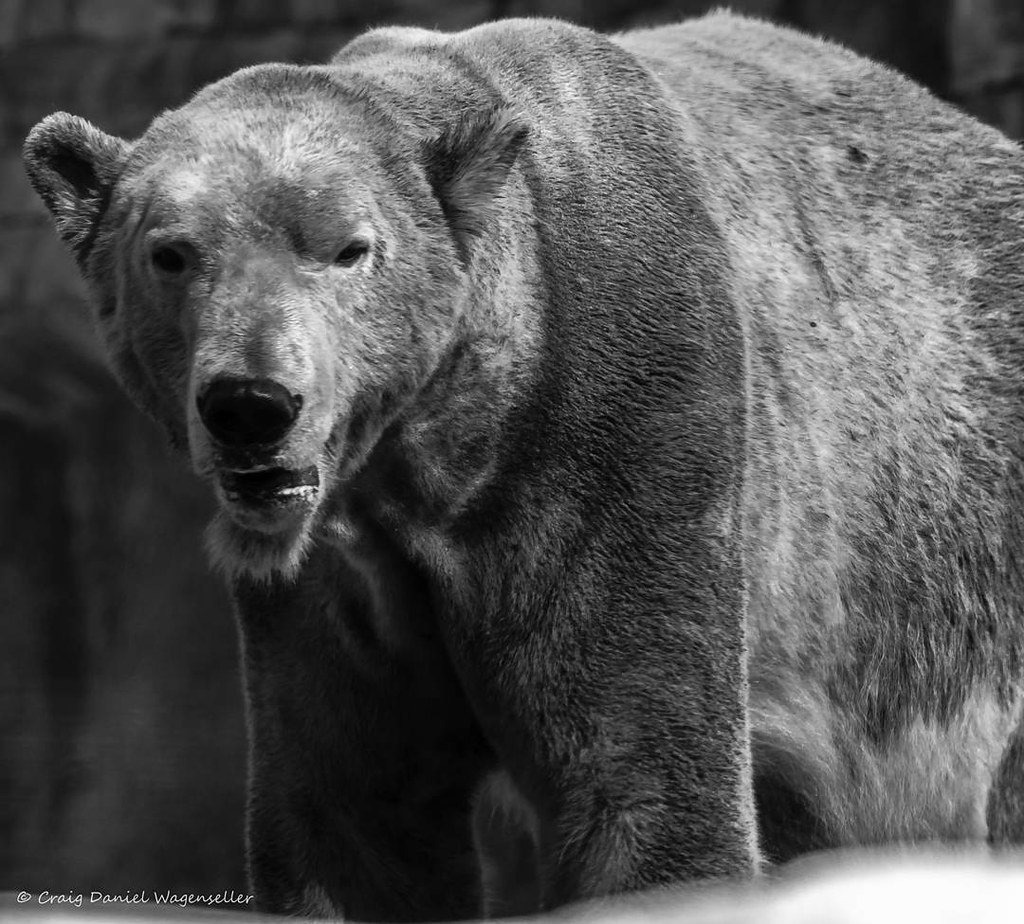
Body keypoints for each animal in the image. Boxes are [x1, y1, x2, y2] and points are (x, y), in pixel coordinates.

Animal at [22, 9, 1024, 921]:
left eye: (350, 248)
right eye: (172, 252)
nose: (251, 404)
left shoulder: (621, 441)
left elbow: (643, 784)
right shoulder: (330, 585)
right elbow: (354, 817)